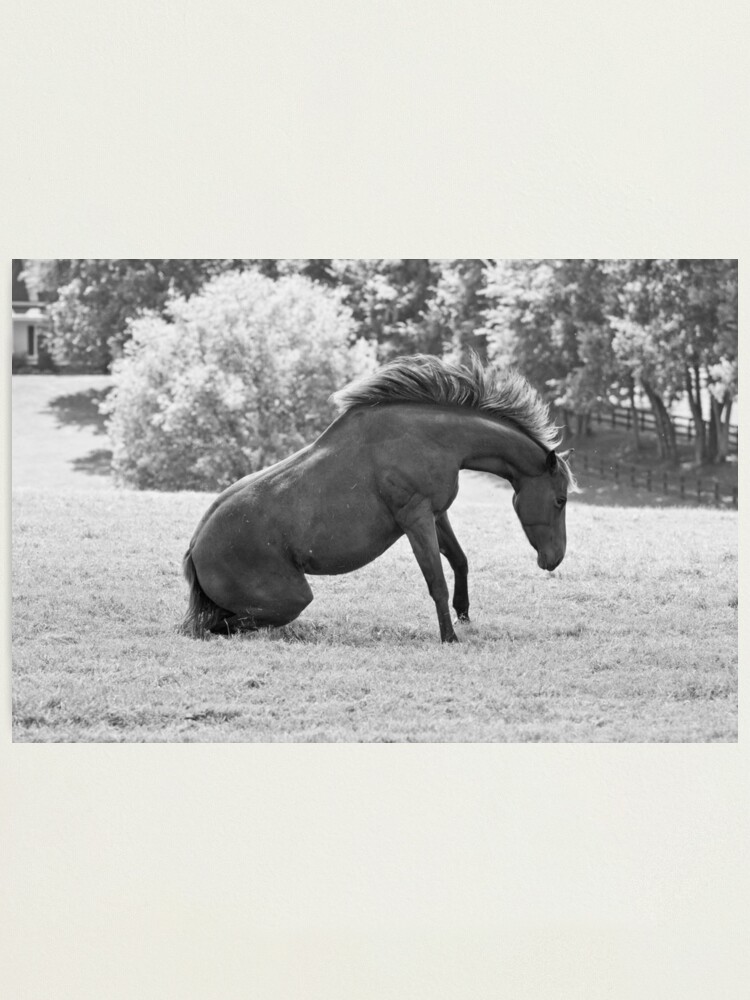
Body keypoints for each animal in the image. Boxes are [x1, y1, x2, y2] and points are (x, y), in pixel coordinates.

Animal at [181, 353, 578, 643]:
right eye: (560, 500)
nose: (554, 559)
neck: (433, 437)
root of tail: (196, 548)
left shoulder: (436, 513)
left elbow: (459, 561)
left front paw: (464, 615)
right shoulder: (415, 518)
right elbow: (436, 580)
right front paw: (449, 637)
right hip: (292, 598)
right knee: (218, 626)